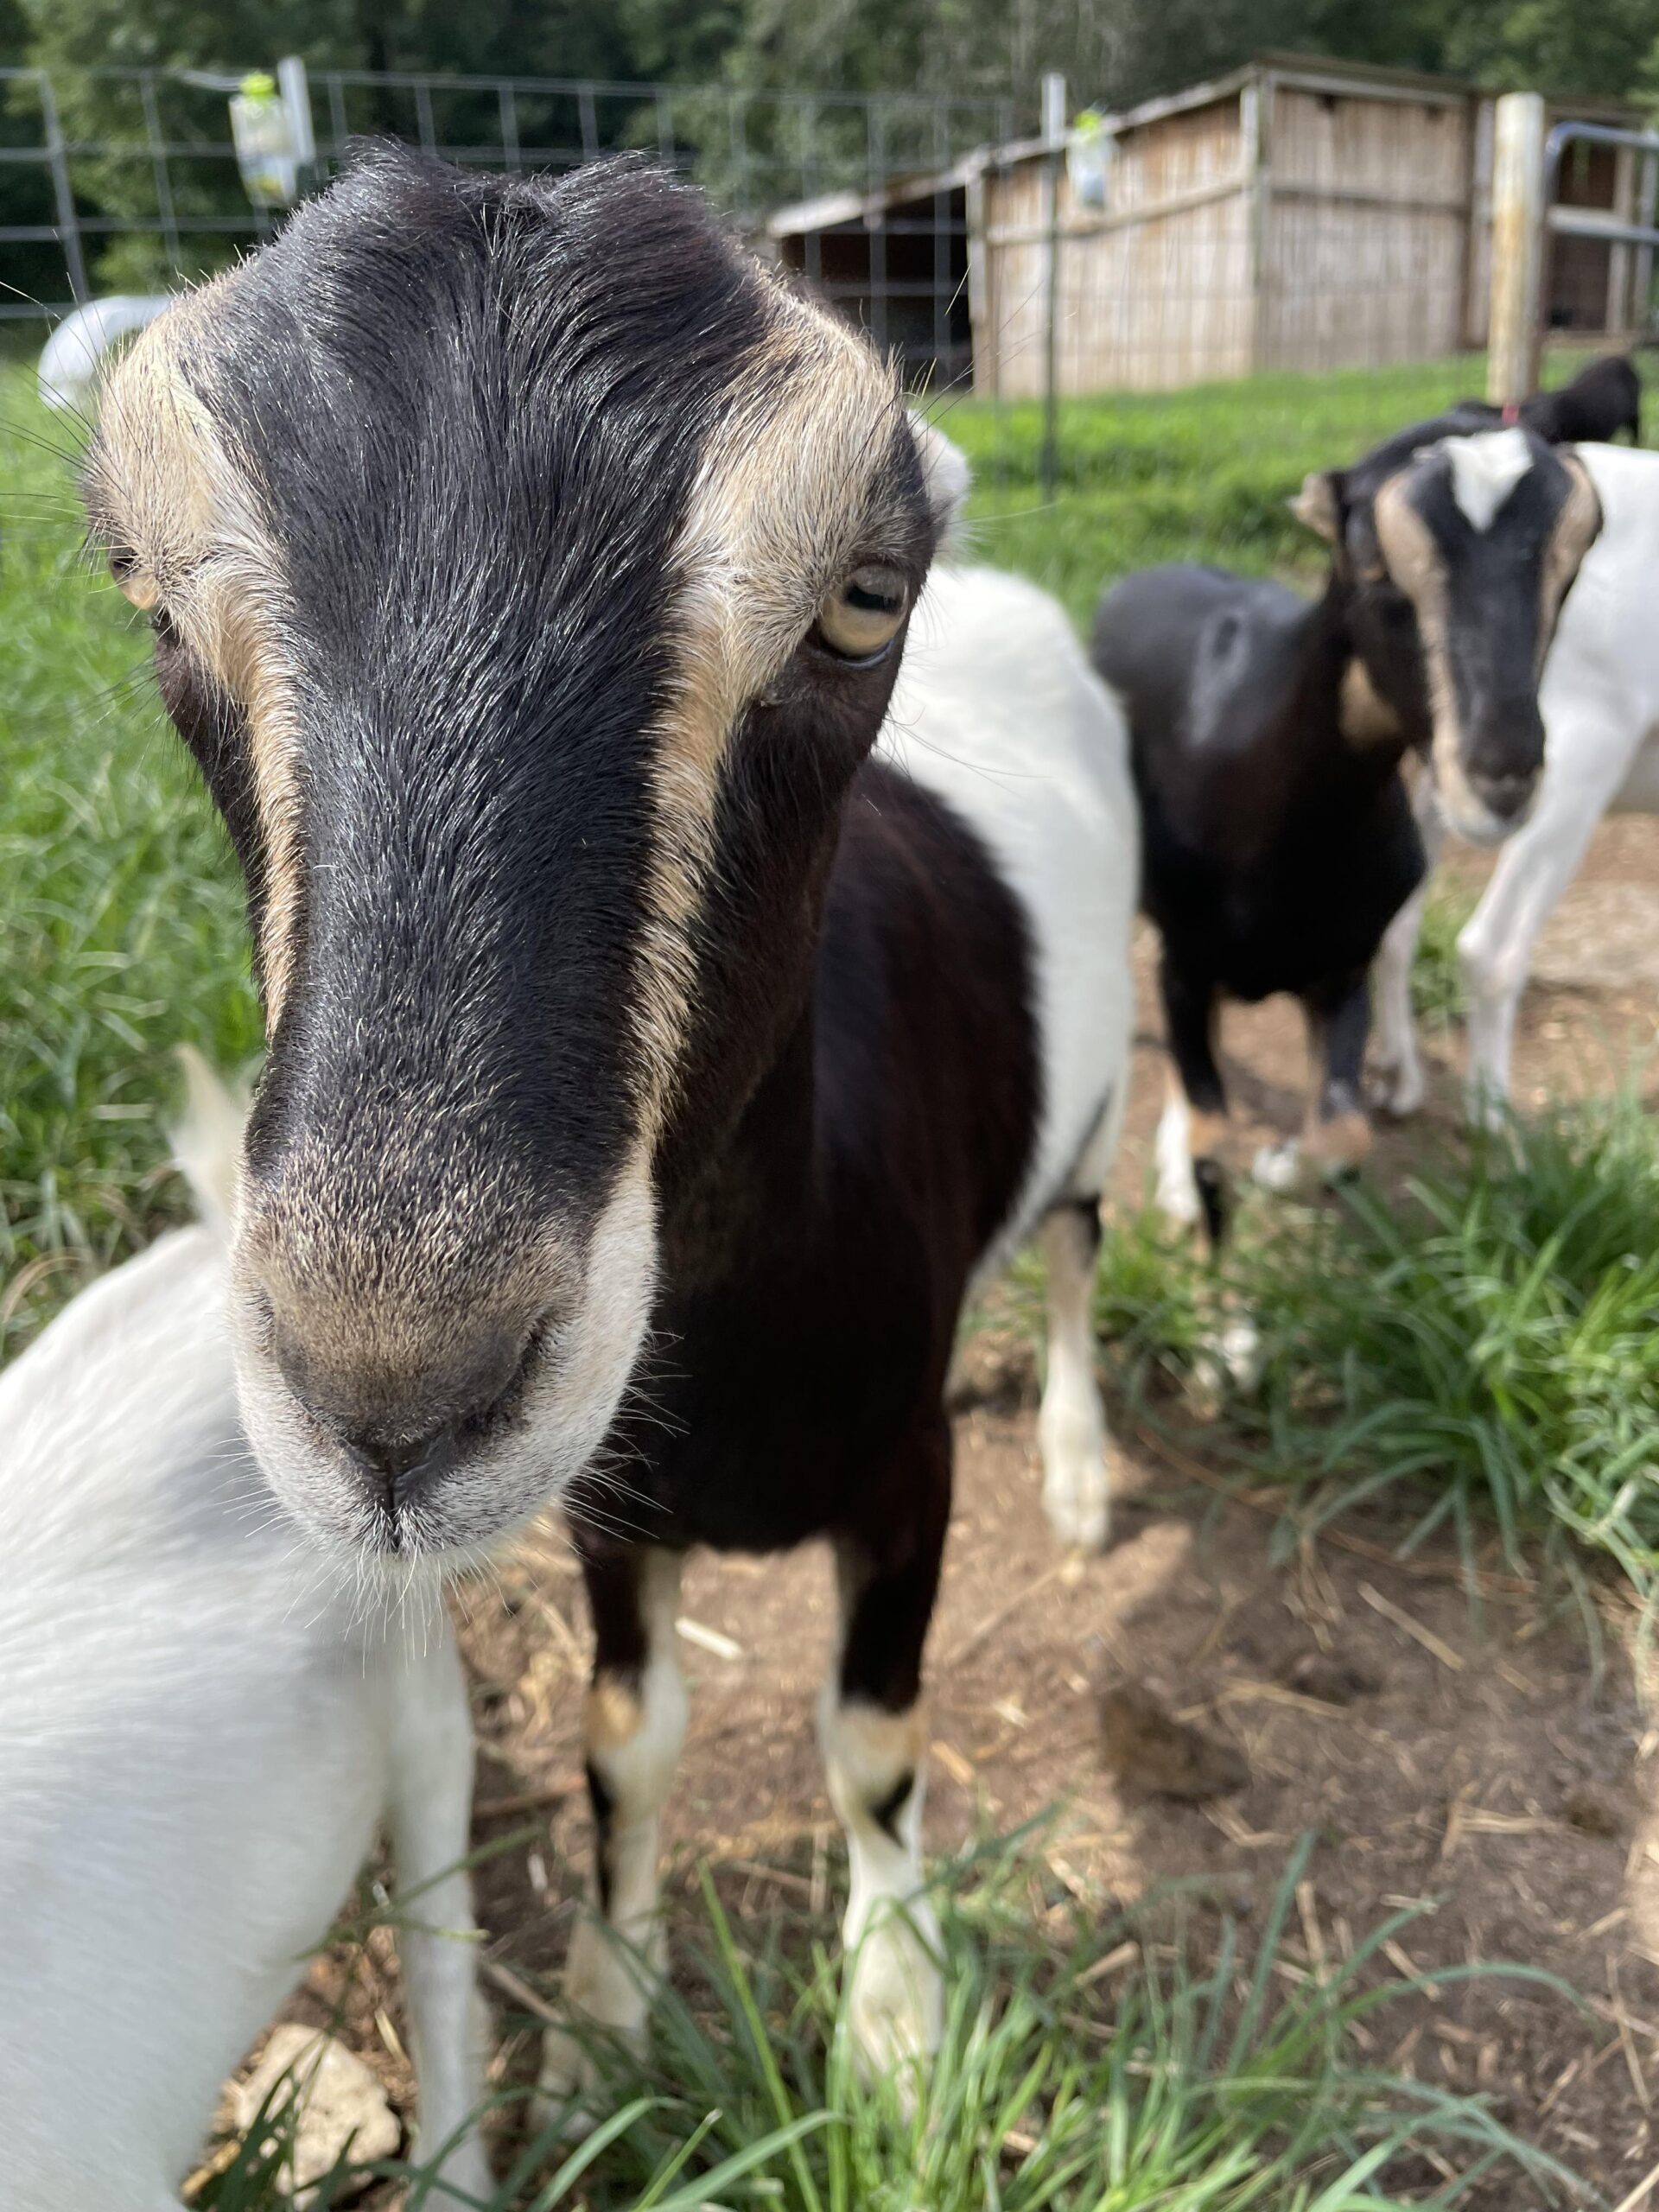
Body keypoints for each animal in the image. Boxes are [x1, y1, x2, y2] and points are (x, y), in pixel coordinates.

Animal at [82, 150, 1138, 2096]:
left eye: (864, 594)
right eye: (144, 597)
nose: (393, 1396)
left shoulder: (906, 1466)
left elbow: (873, 1742)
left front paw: (896, 2029)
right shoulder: (608, 1513)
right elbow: (624, 1736)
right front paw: (598, 2017)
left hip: (1096, 1111)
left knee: (1090, 1252)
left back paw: (1090, 1471)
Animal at [1092, 421, 1599, 1227]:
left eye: (1570, 565)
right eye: (1372, 566)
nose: (1501, 778)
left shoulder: (1344, 967)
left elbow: (1343, 1132)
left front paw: (1279, 1165)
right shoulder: (1186, 962)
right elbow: (1207, 1110)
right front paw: (1189, 1182)